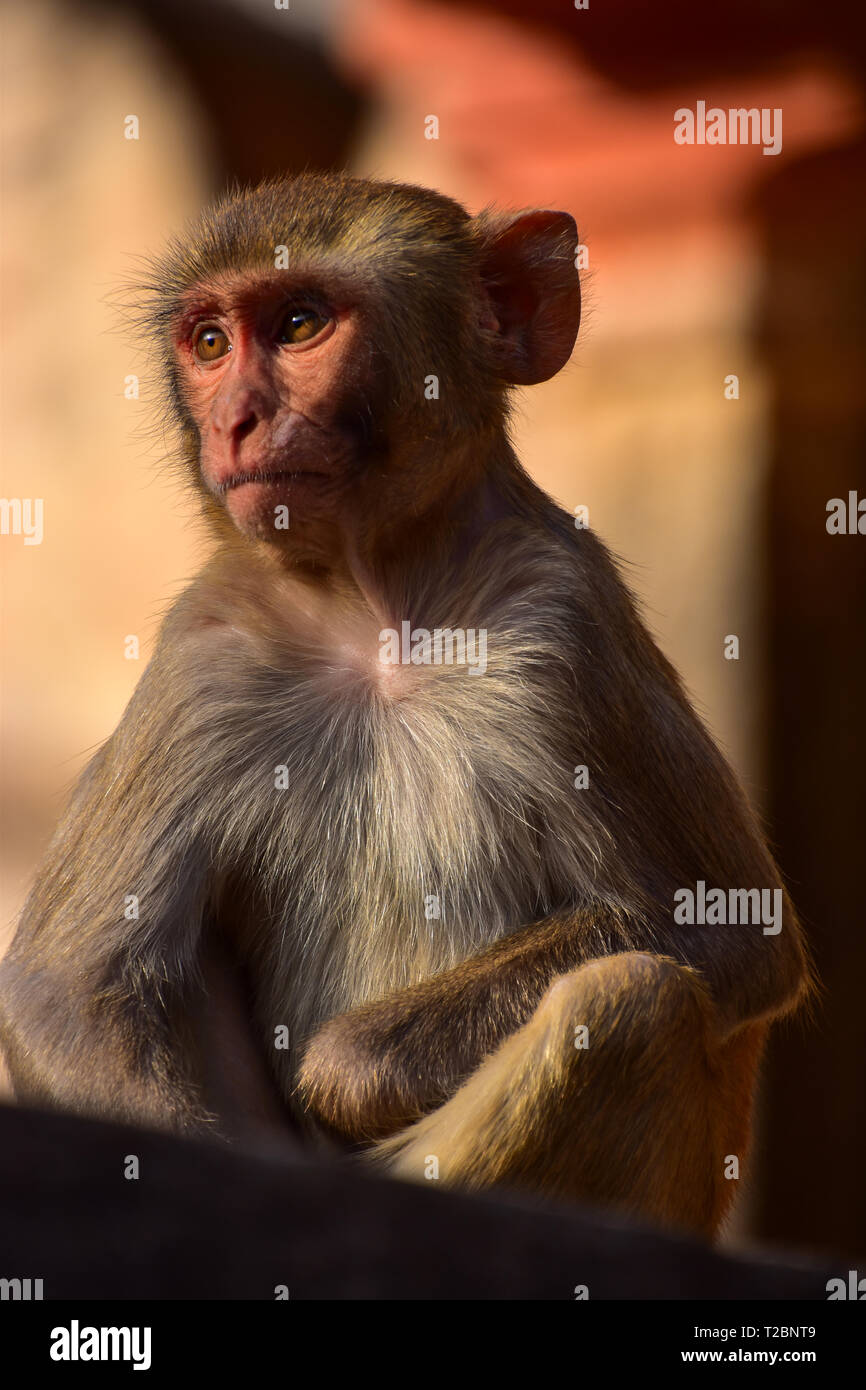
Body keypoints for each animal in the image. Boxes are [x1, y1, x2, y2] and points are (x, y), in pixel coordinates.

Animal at [0, 173, 807, 1237]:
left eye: (300, 324)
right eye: (210, 342)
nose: (235, 422)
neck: (376, 611)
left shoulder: (564, 614)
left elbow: (728, 930)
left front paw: (342, 1073)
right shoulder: (205, 654)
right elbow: (70, 991)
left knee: (632, 999)